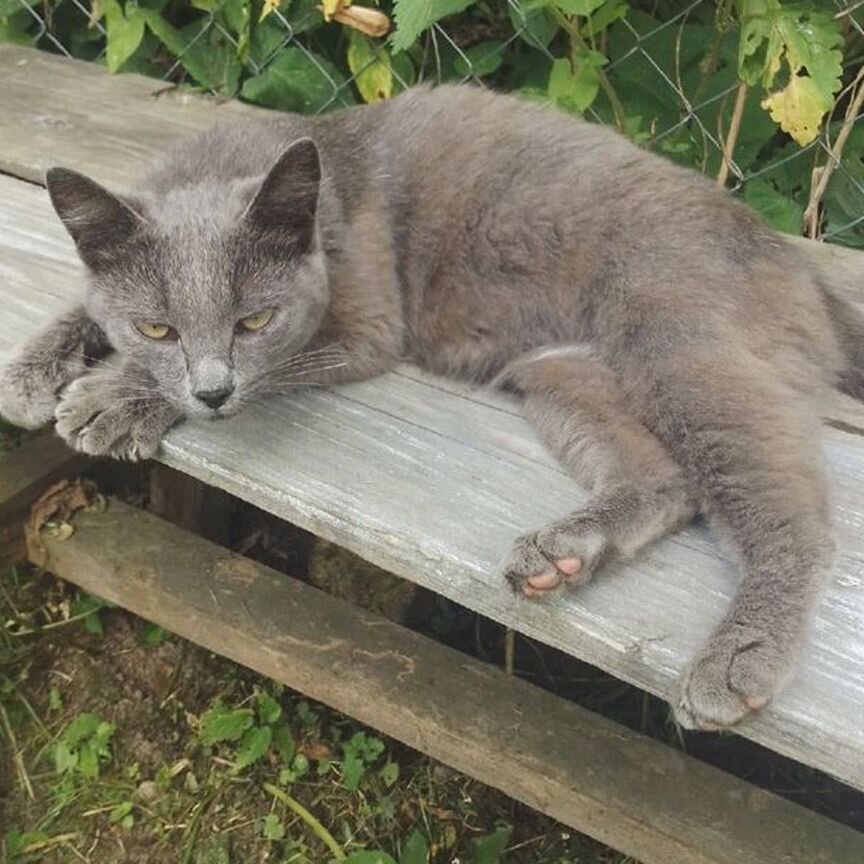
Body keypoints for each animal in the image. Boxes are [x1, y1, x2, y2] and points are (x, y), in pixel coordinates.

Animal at [3, 84, 860, 728]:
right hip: (560, 371)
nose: (212, 391)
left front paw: (113, 398)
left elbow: (277, 367)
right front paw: (32, 370)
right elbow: (85, 306)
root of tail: (805, 272)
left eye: (254, 321)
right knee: (667, 480)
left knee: (790, 505)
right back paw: (567, 551)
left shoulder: (362, 331)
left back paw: (741, 655)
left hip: (679, 341)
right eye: (157, 326)